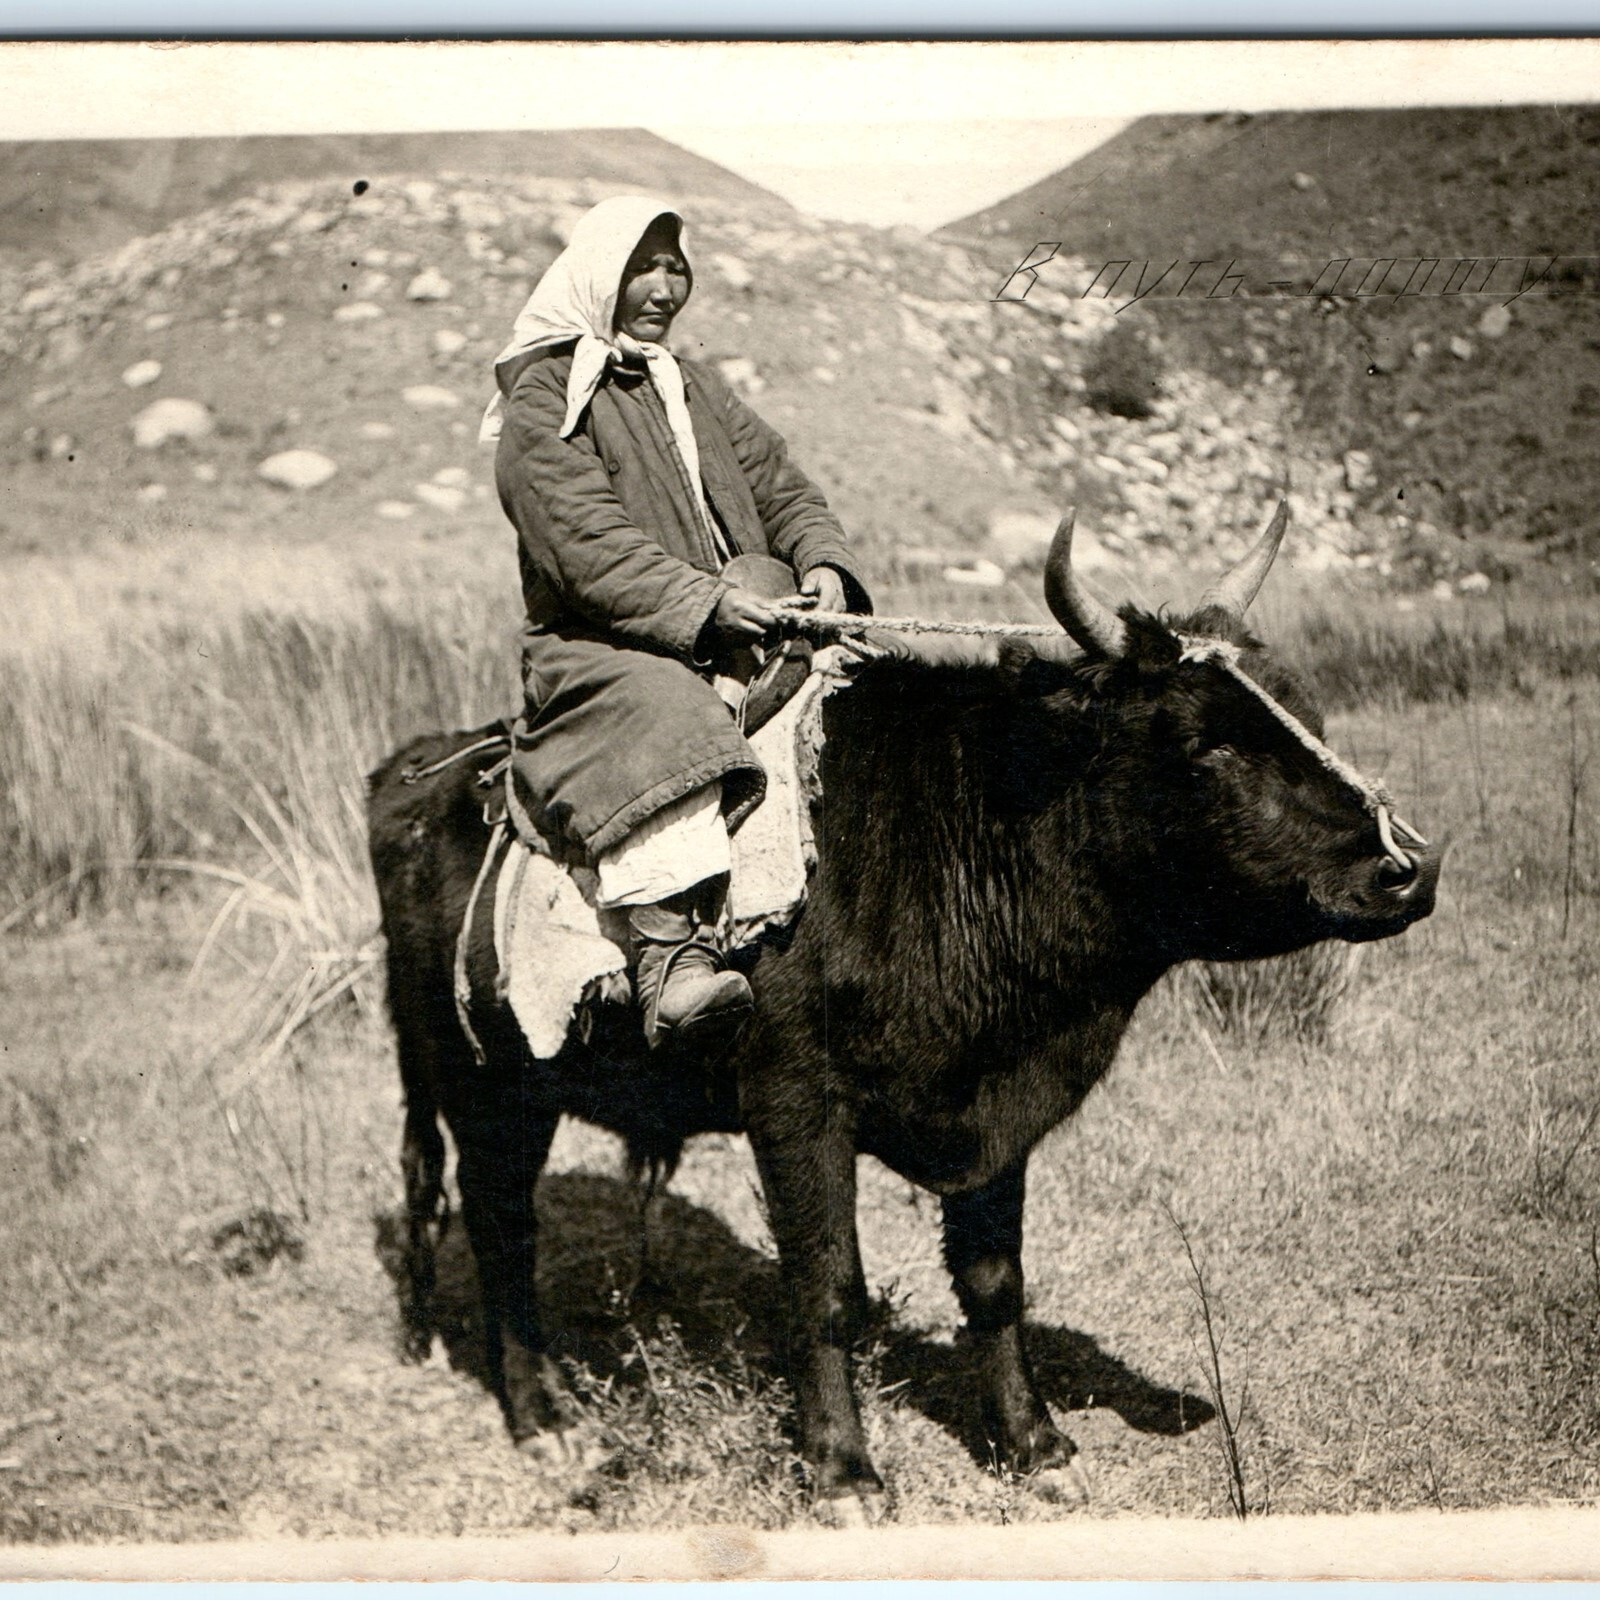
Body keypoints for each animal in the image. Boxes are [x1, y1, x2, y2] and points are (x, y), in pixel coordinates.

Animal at [366, 503, 1439, 1518]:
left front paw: (1035, 1445)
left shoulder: (1000, 1113)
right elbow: (828, 1286)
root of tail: (421, 770)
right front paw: (844, 1471)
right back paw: (541, 1417)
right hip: (484, 1087)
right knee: (500, 1227)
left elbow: (995, 1282)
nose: (1410, 866)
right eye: (1206, 746)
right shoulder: (795, 1104)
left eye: (1307, 709)